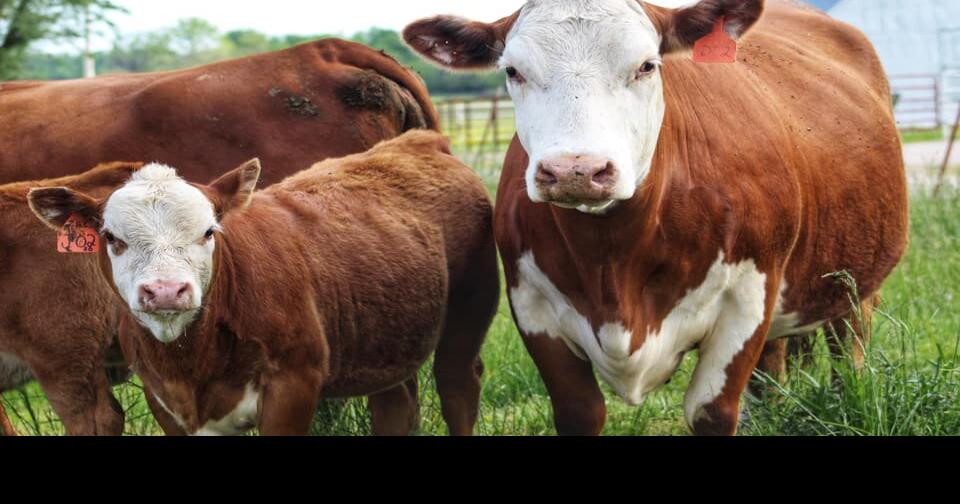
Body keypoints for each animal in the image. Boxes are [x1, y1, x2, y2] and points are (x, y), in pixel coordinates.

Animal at [28, 131, 500, 436]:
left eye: (209, 231)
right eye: (112, 237)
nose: (165, 291)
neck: (192, 363)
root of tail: (417, 141)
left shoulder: (293, 385)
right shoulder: (164, 402)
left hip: (469, 312)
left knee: (458, 384)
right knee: (396, 402)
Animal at [404, 0, 909, 436]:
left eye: (646, 65)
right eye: (513, 70)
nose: (575, 170)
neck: (612, 257)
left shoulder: (748, 299)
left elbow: (711, 412)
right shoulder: (533, 307)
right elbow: (580, 411)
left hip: (853, 281)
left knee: (848, 344)